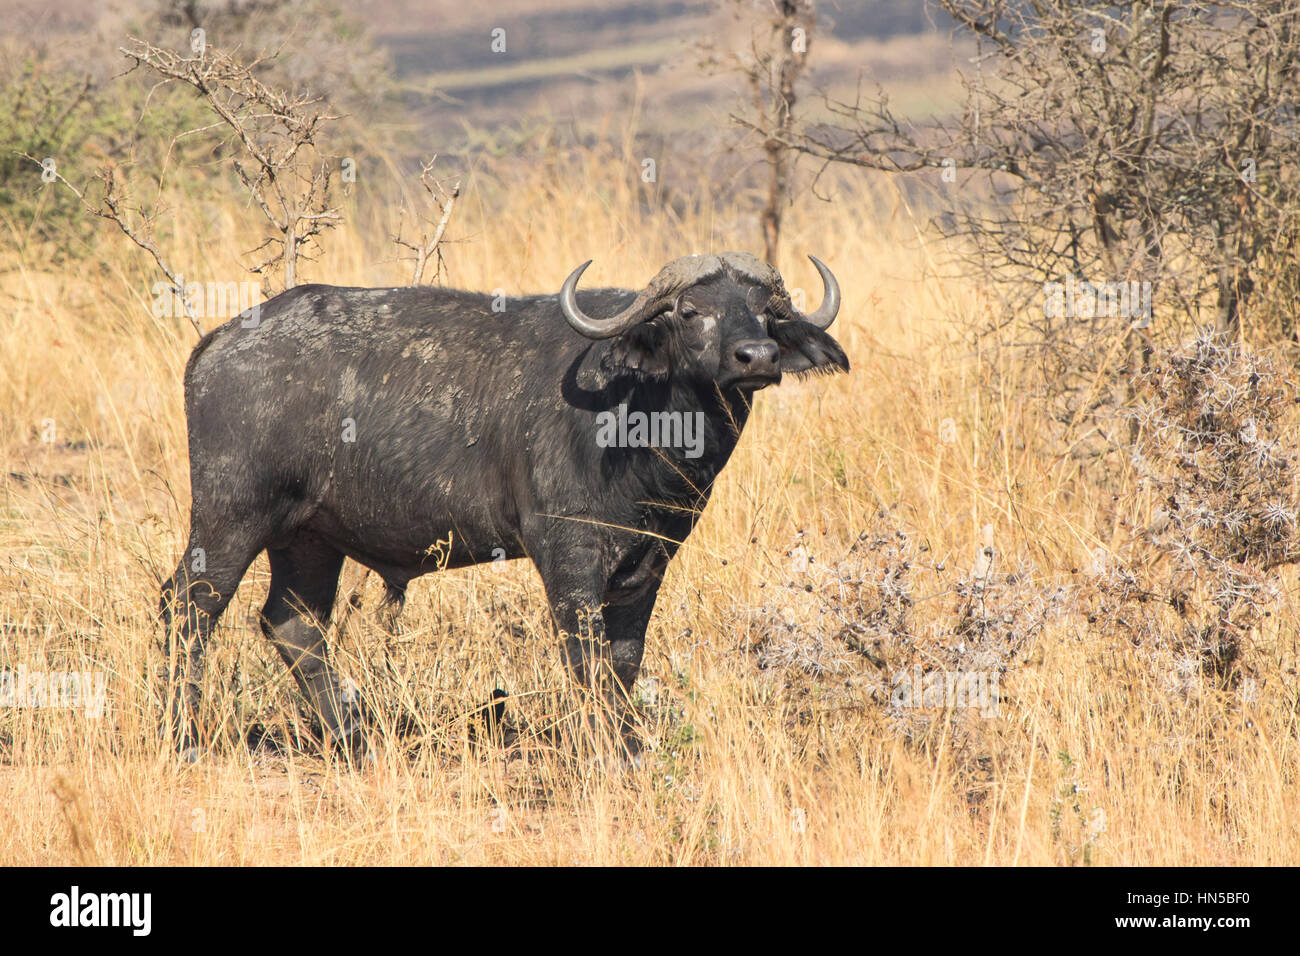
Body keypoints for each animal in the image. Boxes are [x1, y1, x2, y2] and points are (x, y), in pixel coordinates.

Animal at [160, 251, 848, 759]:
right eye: (689, 310)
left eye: (765, 313)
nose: (755, 358)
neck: (643, 413)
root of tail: (217, 343)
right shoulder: (569, 555)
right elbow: (587, 656)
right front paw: (603, 752)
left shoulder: (648, 563)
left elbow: (624, 661)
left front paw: (628, 748)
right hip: (230, 517)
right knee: (187, 608)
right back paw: (182, 736)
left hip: (309, 538)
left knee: (294, 624)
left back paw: (355, 740)